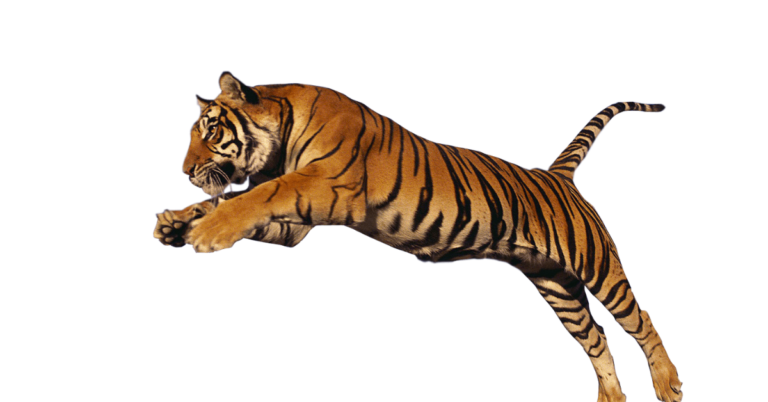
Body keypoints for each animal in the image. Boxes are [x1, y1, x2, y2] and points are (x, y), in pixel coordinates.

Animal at [153, 72, 682, 402]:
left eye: (210, 130)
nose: (184, 171)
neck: (282, 137)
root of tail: (556, 175)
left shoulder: (322, 186)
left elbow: (253, 196)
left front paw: (206, 231)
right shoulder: (295, 226)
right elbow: (230, 200)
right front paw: (176, 221)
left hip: (596, 264)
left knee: (640, 320)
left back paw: (668, 384)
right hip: (556, 284)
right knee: (595, 337)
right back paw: (612, 397)